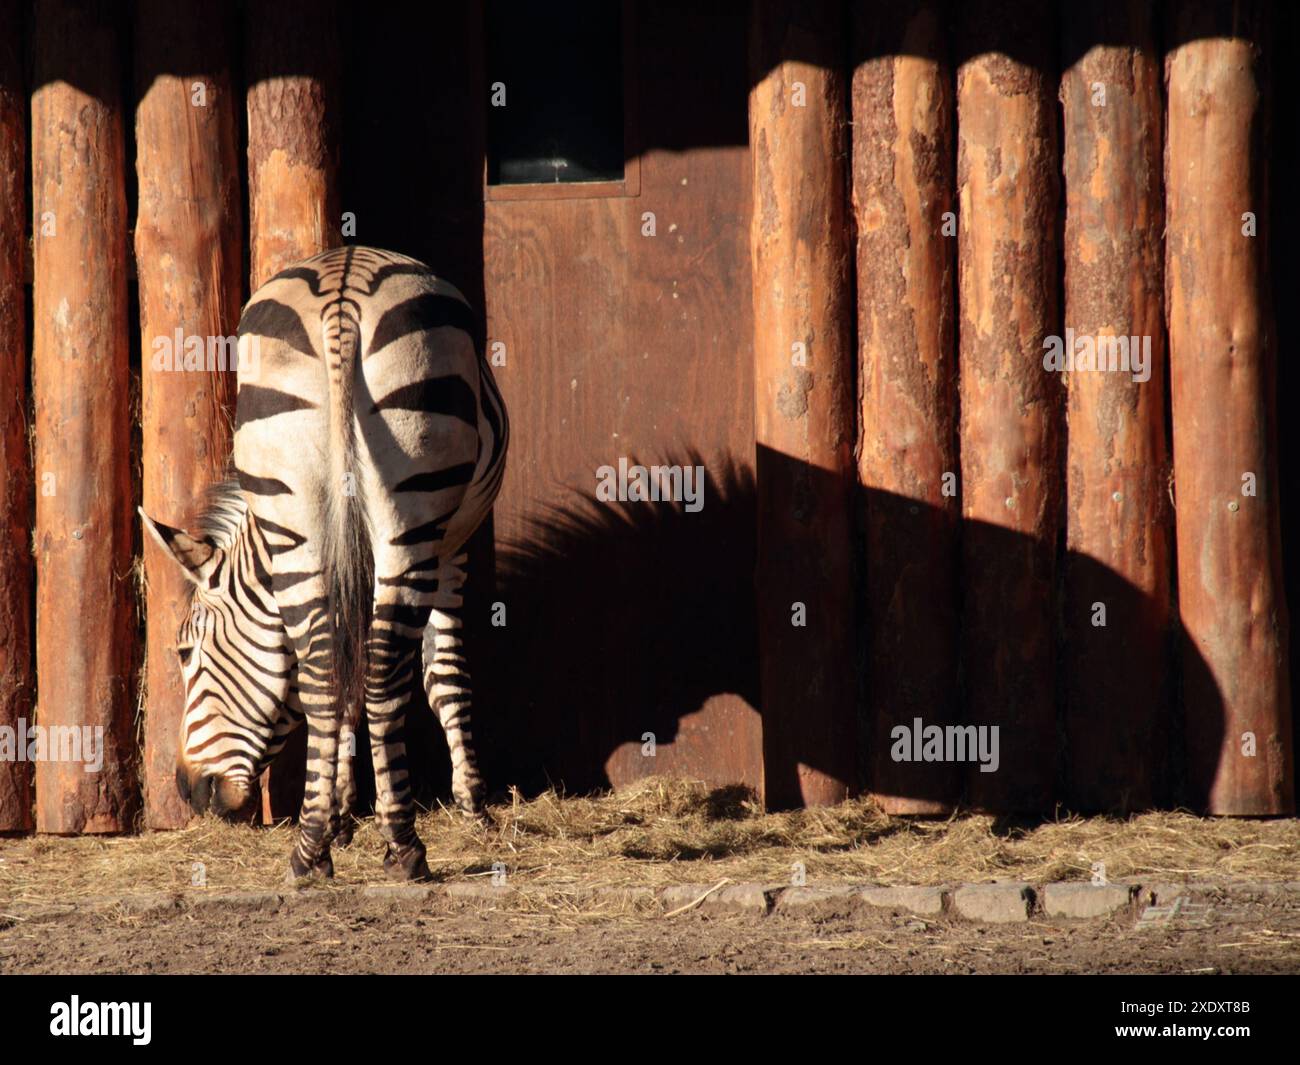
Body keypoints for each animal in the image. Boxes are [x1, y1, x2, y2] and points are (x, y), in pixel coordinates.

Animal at [140, 245, 508, 882]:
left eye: (184, 652)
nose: (189, 792)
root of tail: (343, 289)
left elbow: (393, 676)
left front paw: (347, 816)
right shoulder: (446, 549)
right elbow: (436, 673)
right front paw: (465, 808)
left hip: (298, 510)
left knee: (321, 674)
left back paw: (312, 851)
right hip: (411, 513)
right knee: (381, 673)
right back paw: (402, 847)